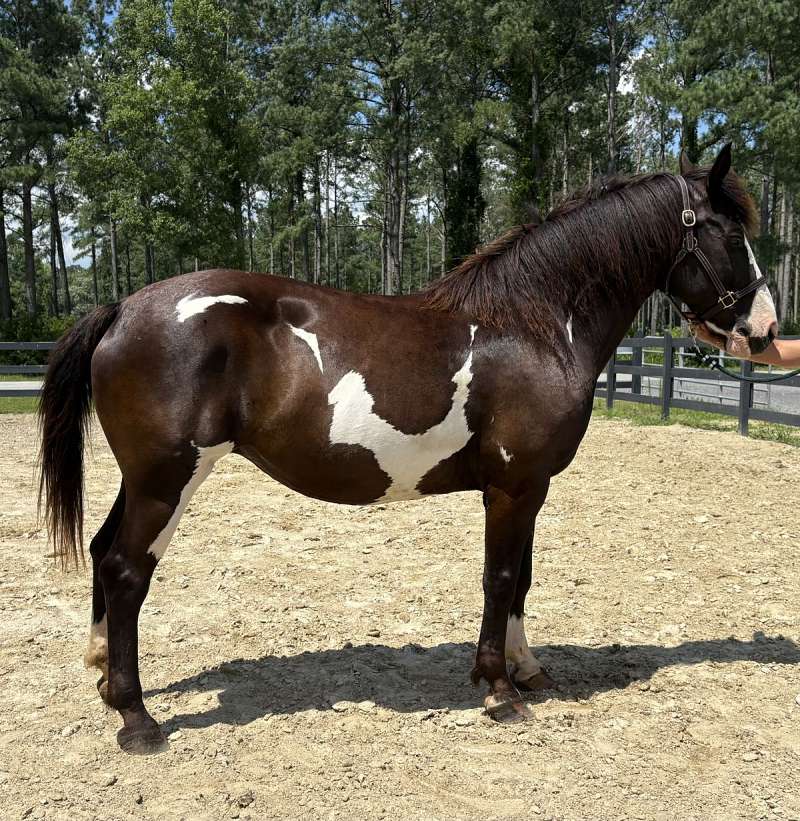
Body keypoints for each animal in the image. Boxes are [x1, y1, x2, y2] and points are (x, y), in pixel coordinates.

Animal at [38, 144, 777, 755]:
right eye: (731, 232)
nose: (766, 329)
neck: (534, 326)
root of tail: (123, 308)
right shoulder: (511, 488)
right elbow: (499, 577)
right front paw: (498, 690)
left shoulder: (530, 487)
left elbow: (522, 578)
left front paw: (527, 669)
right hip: (168, 479)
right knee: (128, 571)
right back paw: (137, 719)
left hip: (143, 479)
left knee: (103, 553)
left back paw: (104, 678)